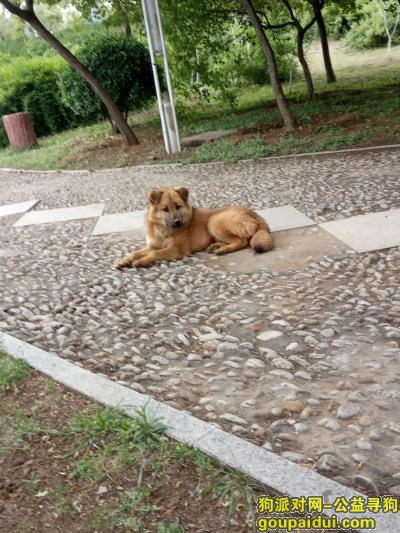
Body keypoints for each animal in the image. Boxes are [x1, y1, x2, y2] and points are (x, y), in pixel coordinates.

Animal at [114, 188, 274, 270]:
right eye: (165, 209)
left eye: (178, 206)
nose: (177, 222)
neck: (162, 229)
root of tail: (256, 215)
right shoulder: (153, 246)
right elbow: (135, 252)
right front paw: (124, 260)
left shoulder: (177, 249)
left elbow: (156, 254)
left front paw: (143, 261)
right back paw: (216, 246)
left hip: (214, 221)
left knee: (242, 241)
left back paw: (223, 249)